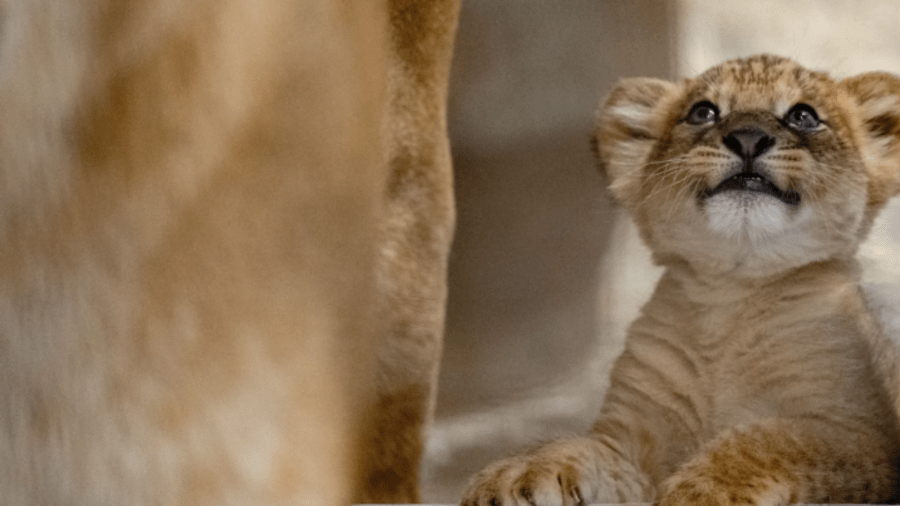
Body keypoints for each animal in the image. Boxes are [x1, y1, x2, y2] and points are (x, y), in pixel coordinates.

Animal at [461, 54, 900, 506]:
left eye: (804, 116)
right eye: (703, 112)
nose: (747, 137)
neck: (732, 292)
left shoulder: (859, 437)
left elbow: (764, 439)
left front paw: (699, 493)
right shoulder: (633, 434)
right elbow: (584, 447)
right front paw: (517, 474)